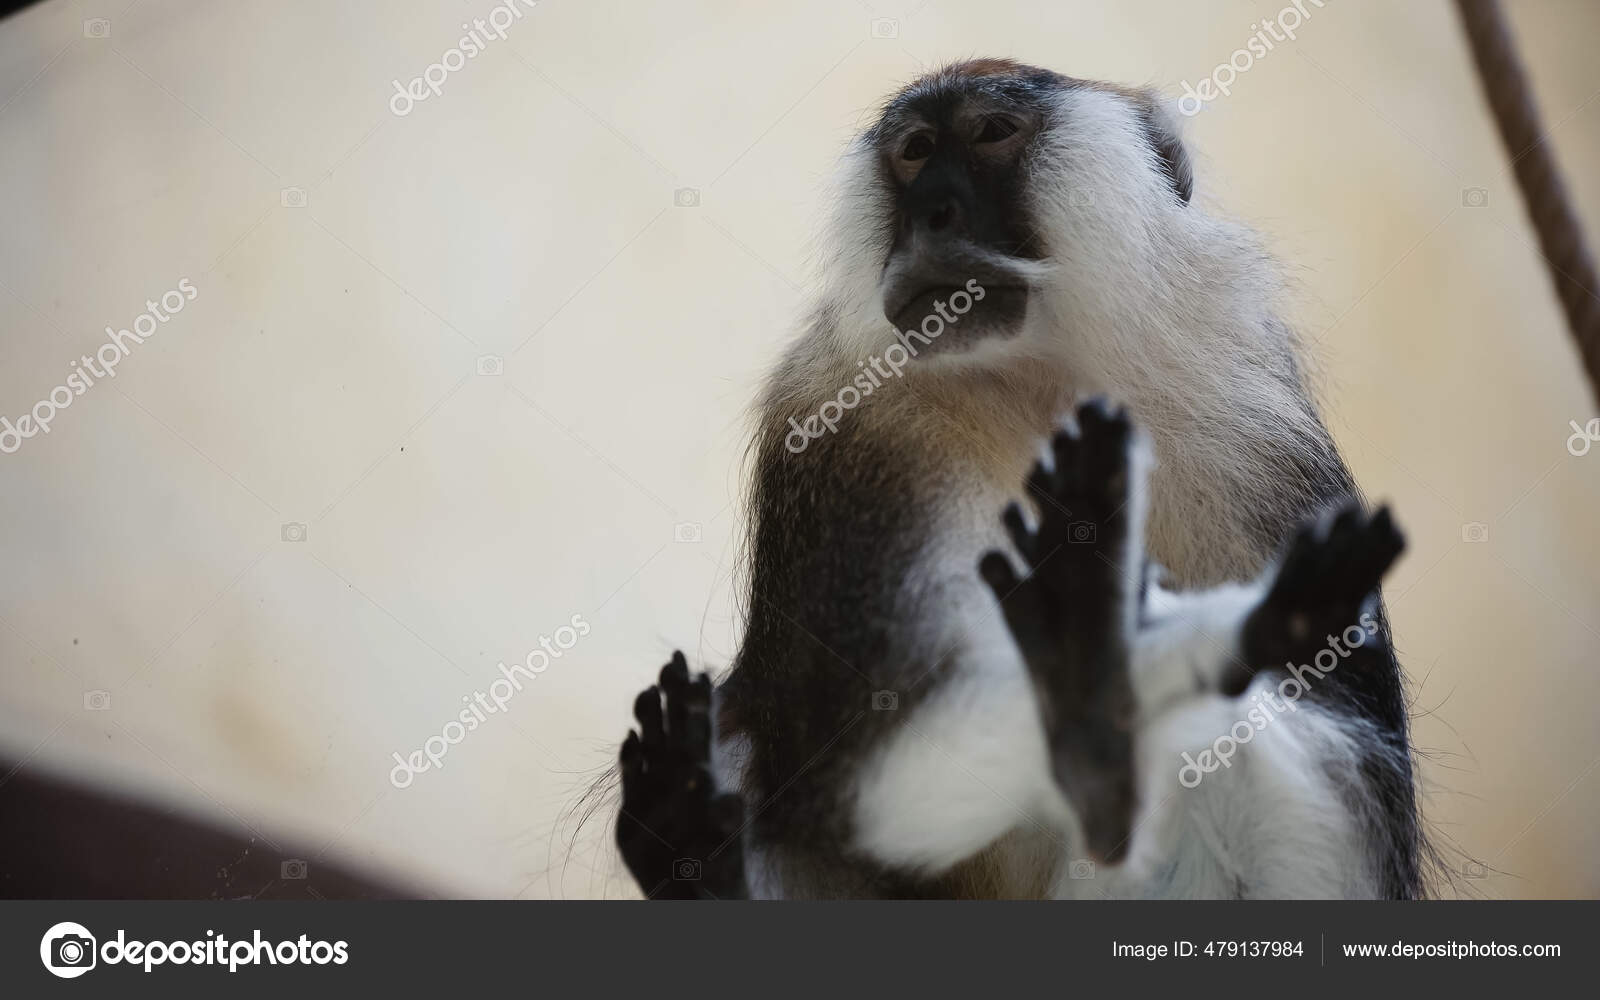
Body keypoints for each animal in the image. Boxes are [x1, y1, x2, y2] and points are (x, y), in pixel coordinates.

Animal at [613, 59, 1424, 900]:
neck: (1036, 379)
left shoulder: (1259, 427)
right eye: (915, 151)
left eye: (991, 133)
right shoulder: (852, 425)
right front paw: (1097, 655)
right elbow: (874, 780)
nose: (933, 213)